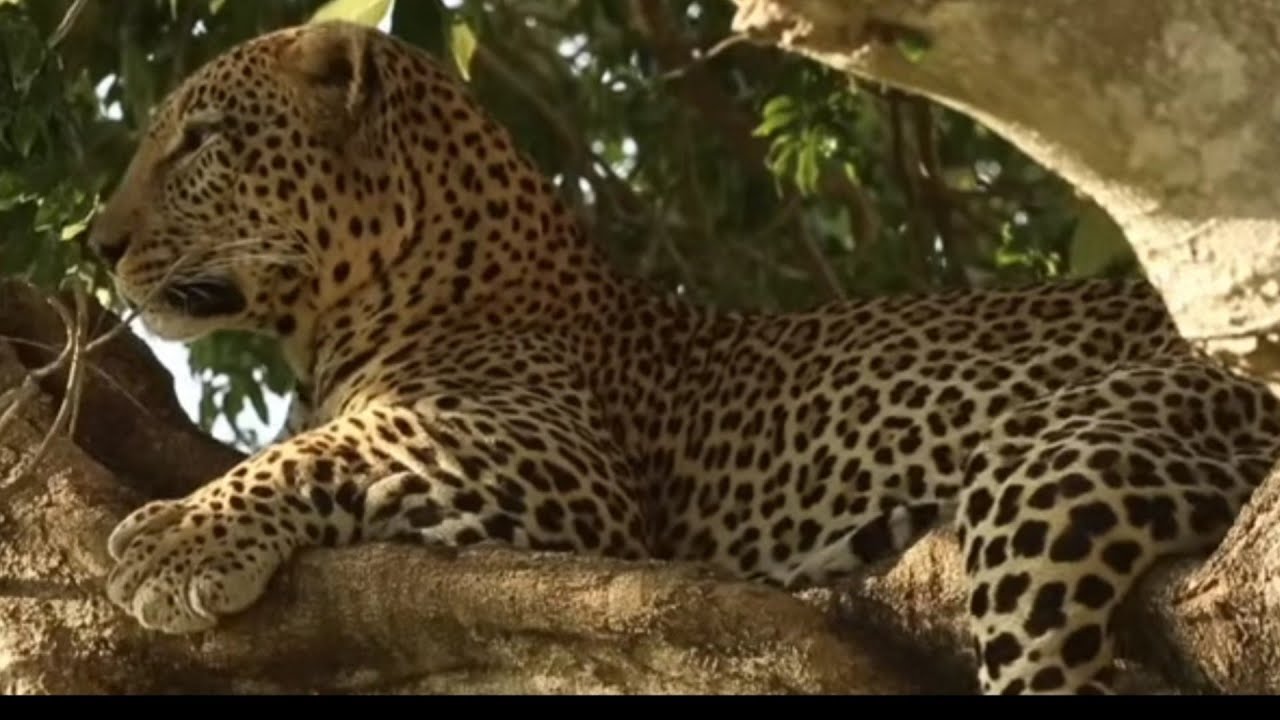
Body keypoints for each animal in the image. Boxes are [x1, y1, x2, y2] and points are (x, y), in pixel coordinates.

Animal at [85, 19, 1280, 695]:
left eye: (201, 141)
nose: (97, 243)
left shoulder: (557, 470)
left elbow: (317, 448)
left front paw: (176, 541)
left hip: (1066, 466)